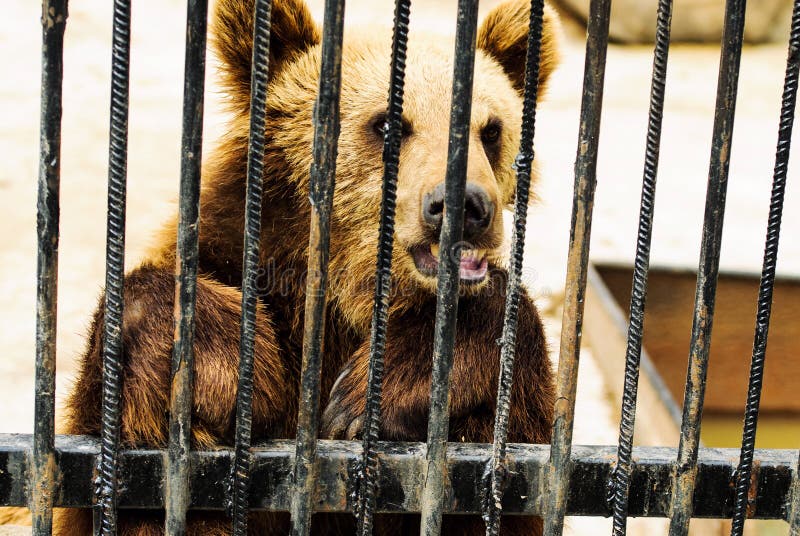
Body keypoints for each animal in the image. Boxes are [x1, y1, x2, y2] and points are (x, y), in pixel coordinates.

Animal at [43, 0, 561, 534]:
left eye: (491, 130)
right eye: (388, 125)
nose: (466, 207)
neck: (344, 291)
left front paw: (364, 396)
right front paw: (220, 365)